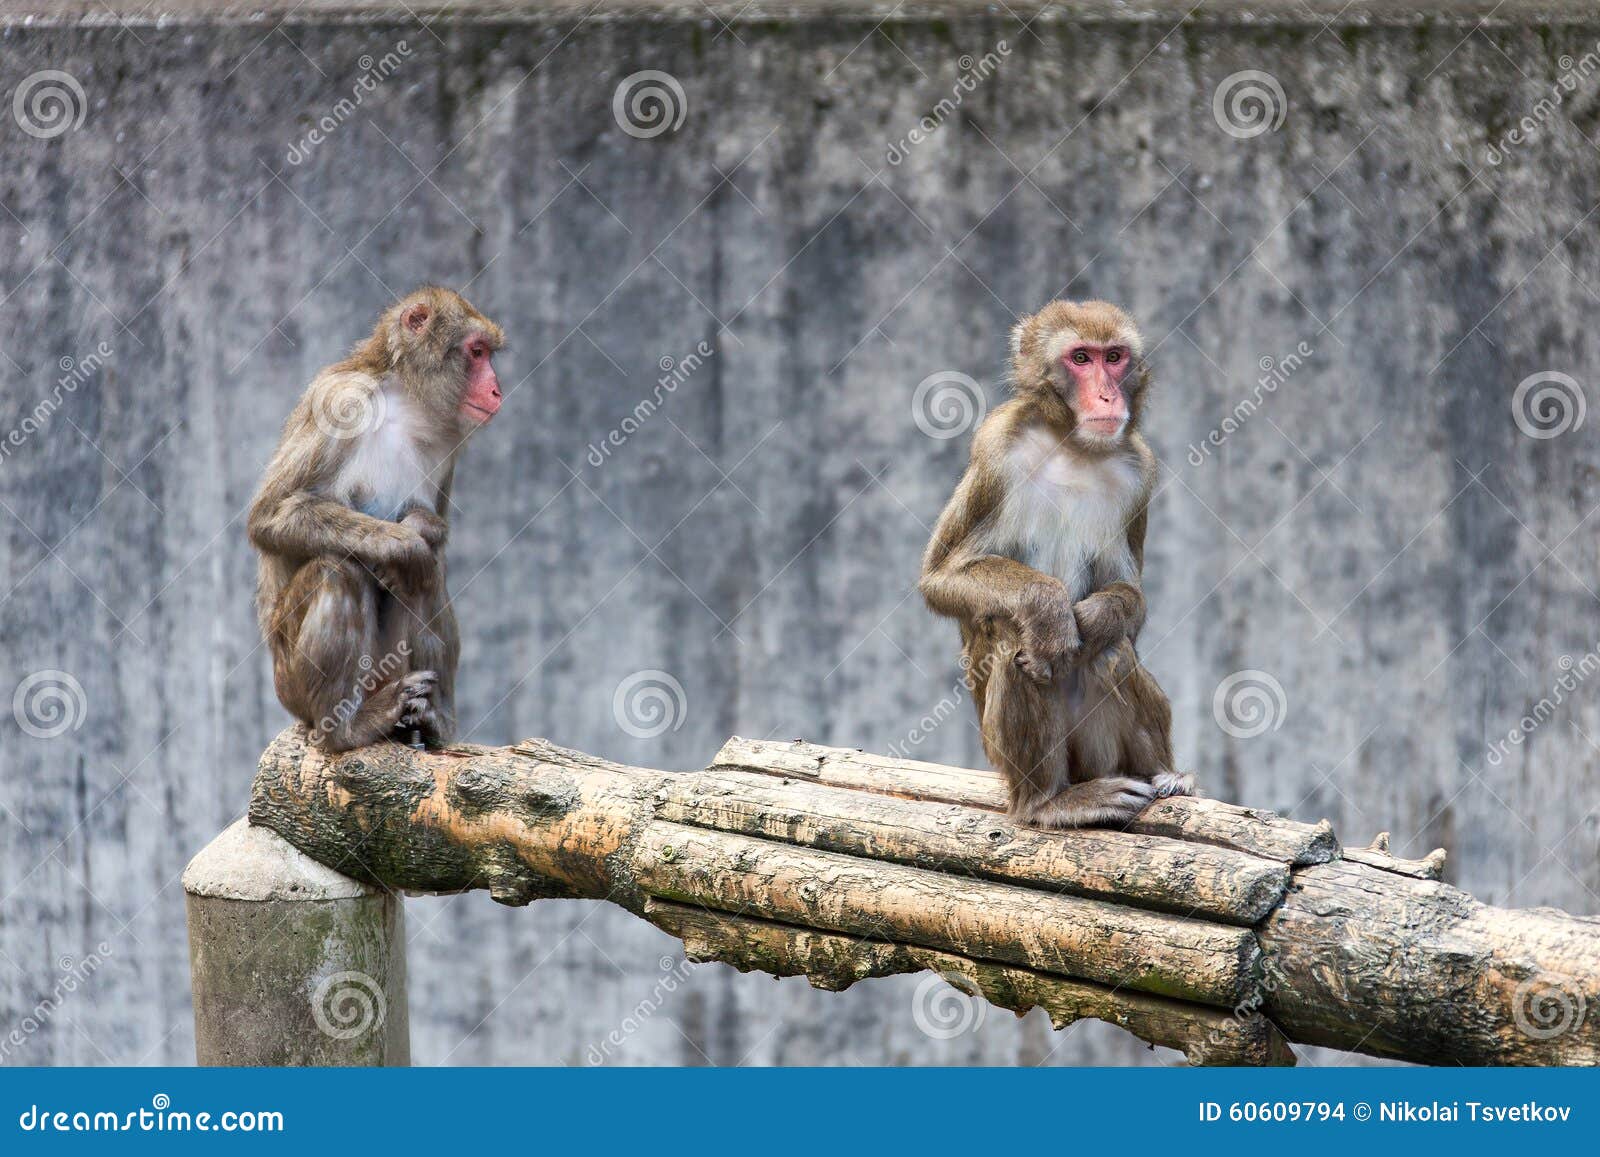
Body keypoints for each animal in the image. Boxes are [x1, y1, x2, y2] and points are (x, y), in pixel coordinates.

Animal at [247, 286, 505, 753]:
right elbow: (272, 514)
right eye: (476, 352)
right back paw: (344, 727)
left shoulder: (449, 442)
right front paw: (401, 544)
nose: (496, 390)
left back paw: (431, 719)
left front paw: (418, 530)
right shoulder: (341, 399)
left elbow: (436, 530)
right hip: (288, 681)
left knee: (426, 576)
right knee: (339, 568)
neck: (405, 400)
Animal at [918, 300, 1193, 829]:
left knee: (1111, 652)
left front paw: (1094, 616)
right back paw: (1046, 801)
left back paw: (1167, 774)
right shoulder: (996, 448)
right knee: (1011, 637)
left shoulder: (1140, 471)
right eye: (1081, 358)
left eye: (1114, 357)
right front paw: (1050, 612)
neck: (1073, 446)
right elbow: (940, 578)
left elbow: (1130, 600)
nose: (1107, 395)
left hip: (1098, 755)